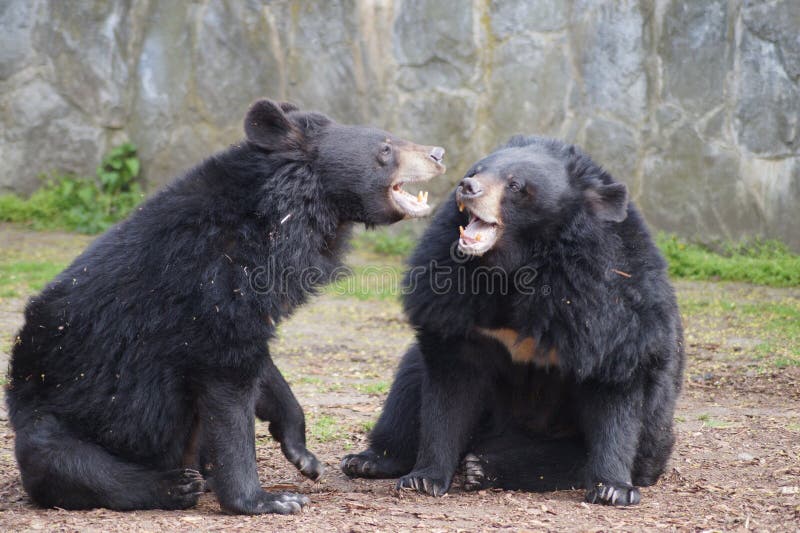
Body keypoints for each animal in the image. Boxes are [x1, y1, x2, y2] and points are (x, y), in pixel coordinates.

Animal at [6, 99, 446, 514]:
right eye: (385, 148)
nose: (438, 153)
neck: (283, 217)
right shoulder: (214, 285)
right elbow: (229, 387)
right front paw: (269, 500)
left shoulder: (252, 305)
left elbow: (262, 366)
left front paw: (303, 455)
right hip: (54, 425)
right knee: (75, 466)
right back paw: (175, 485)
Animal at [341, 135, 684, 506]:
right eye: (476, 171)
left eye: (516, 185)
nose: (467, 187)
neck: (515, 267)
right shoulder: (454, 300)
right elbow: (449, 390)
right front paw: (423, 479)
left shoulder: (607, 304)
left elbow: (613, 386)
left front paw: (612, 489)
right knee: (406, 389)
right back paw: (369, 461)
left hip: (651, 437)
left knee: (571, 457)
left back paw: (482, 467)